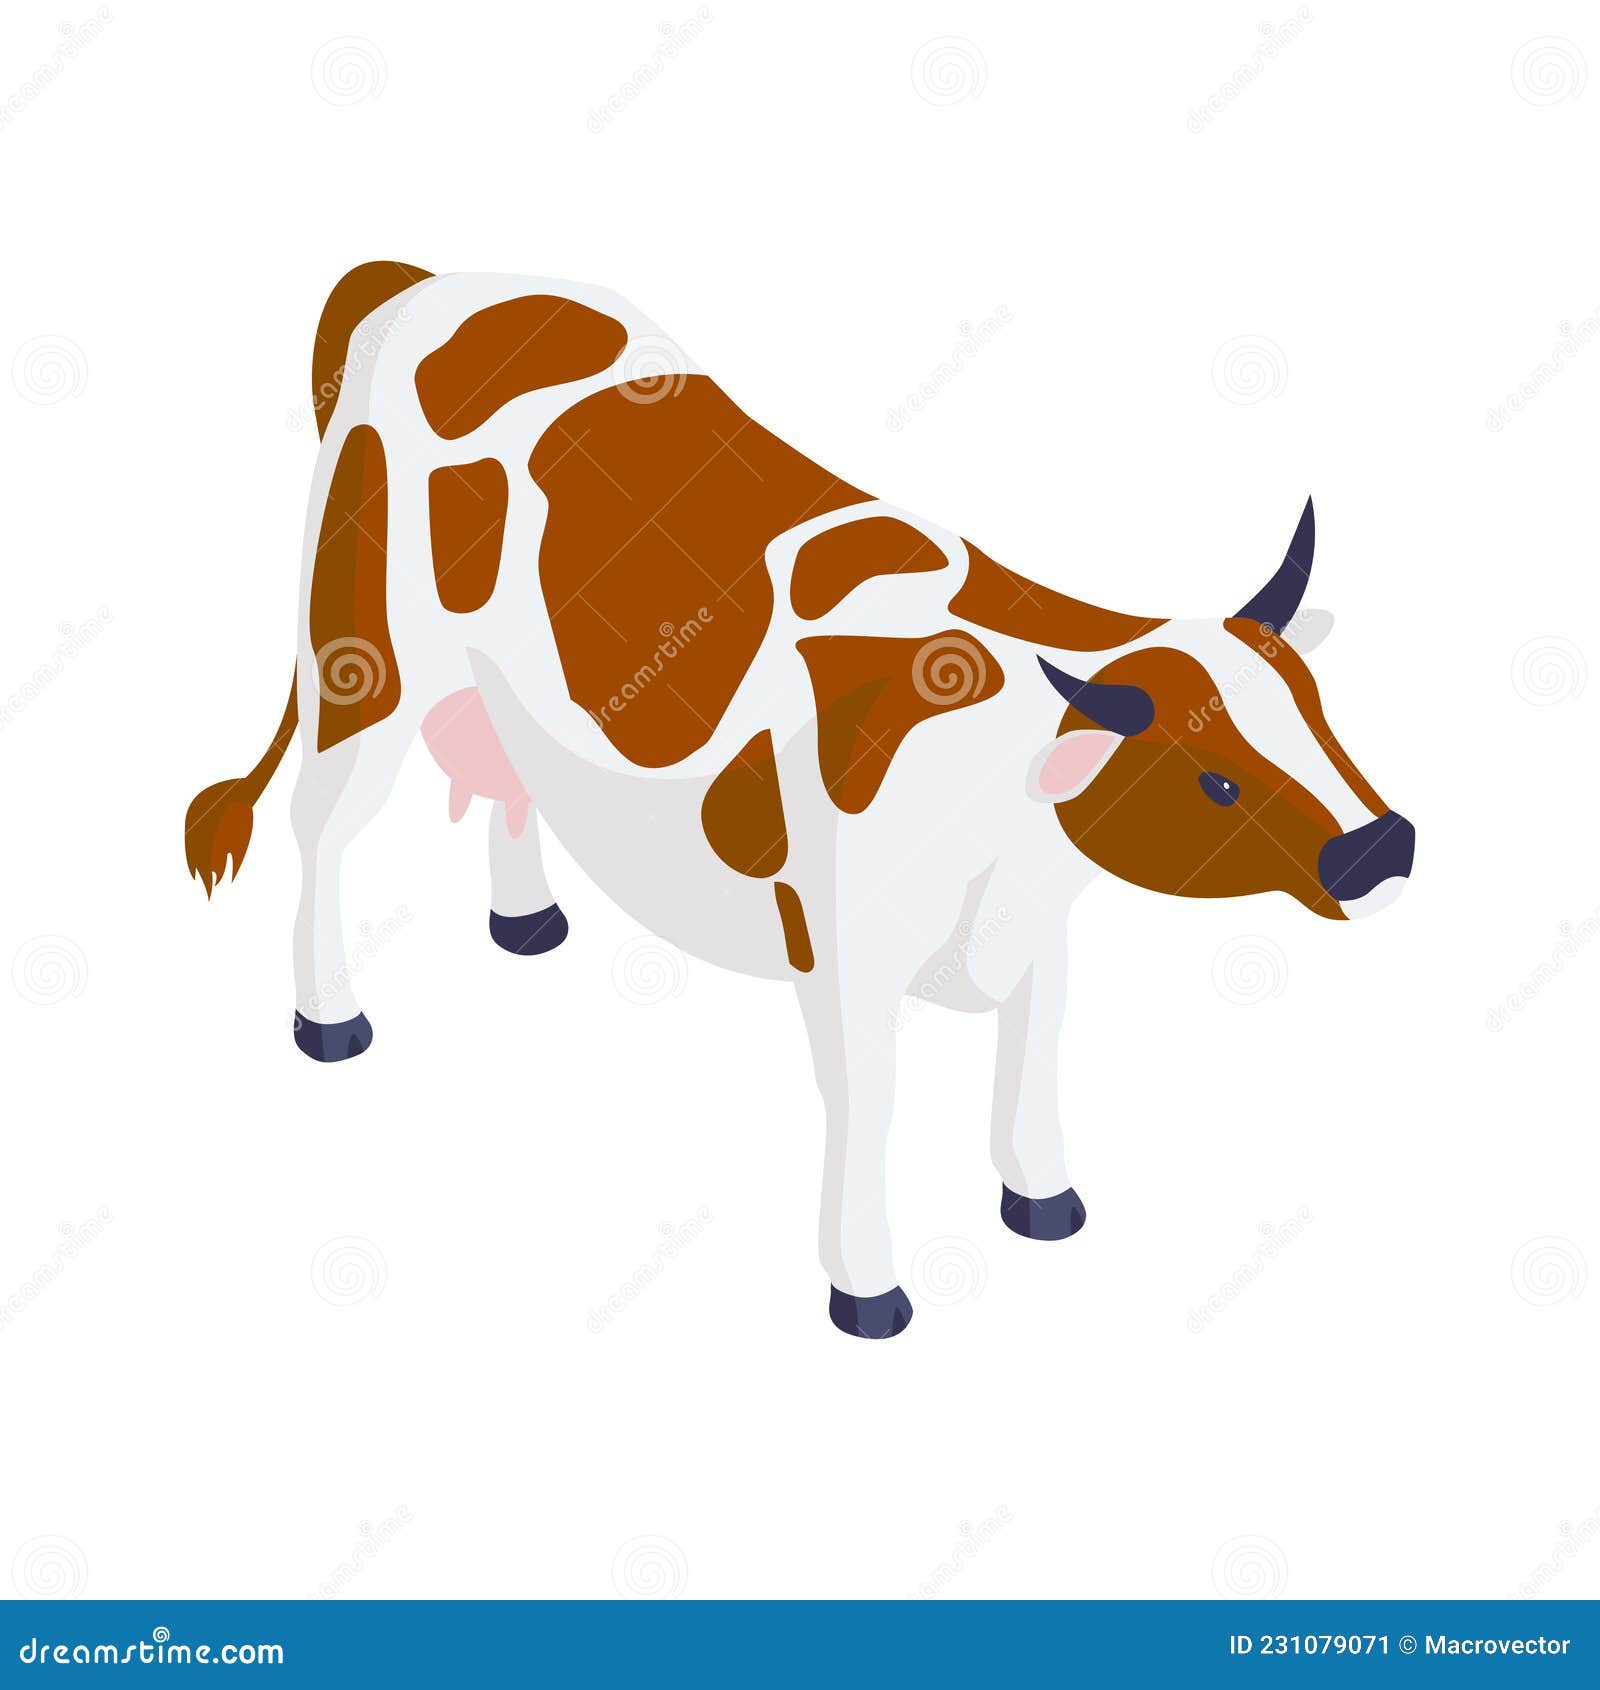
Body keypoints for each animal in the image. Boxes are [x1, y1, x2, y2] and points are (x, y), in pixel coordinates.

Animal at [186, 264, 1415, 1340]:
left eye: (1319, 717)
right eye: (1216, 780)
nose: (1384, 848)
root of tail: (420, 280)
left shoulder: (1036, 927)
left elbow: (1034, 1059)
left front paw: (1045, 1202)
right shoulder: (844, 951)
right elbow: (870, 1103)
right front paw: (867, 1290)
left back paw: (528, 920)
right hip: (363, 662)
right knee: (321, 828)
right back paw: (330, 1017)